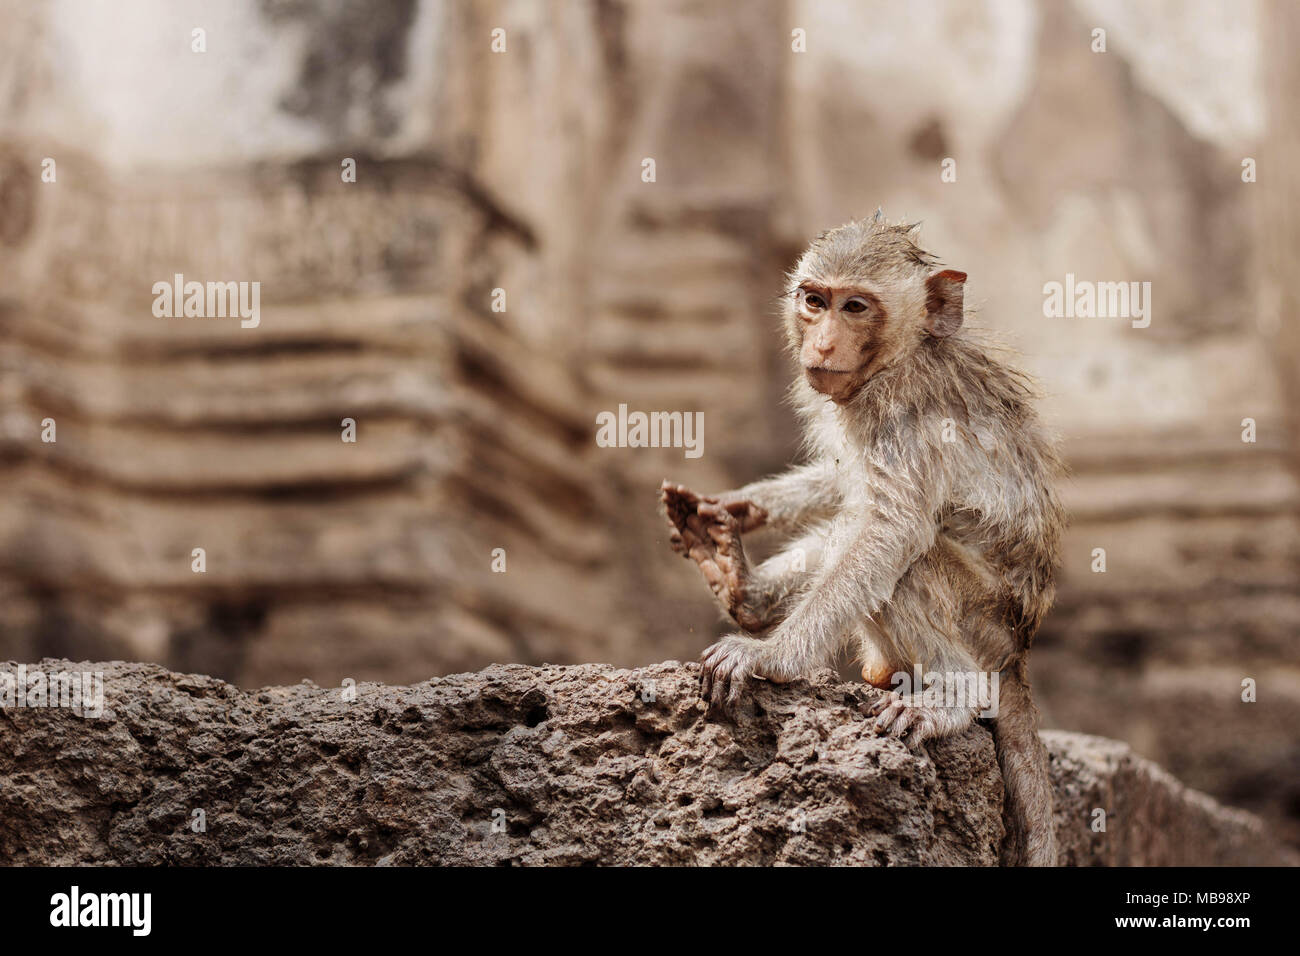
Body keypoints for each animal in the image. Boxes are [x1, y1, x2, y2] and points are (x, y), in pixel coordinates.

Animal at [661, 215, 1065, 866]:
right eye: (815, 301)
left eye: (856, 307)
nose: (823, 344)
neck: (904, 355)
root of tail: (1018, 653)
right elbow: (844, 478)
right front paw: (741, 508)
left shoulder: (903, 413)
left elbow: (890, 530)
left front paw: (769, 656)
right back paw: (743, 589)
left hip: (984, 622)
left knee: (908, 555)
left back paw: (955, 695)